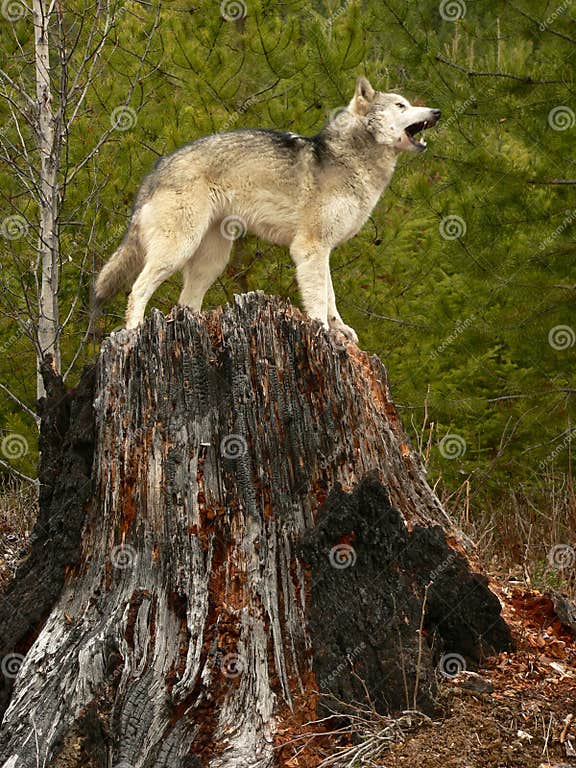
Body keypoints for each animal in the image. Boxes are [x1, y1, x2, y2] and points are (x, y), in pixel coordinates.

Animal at [94, 77, 440, 342]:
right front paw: (323, 331)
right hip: (177, 249)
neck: (350, 158)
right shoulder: (309, 247)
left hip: (211, 262)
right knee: (137, 289)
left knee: (185, 302)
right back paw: (134, 331)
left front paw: (339, 329)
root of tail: (155, 170)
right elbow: (318, 299)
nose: (437, 111)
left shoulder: (324, 249)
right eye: (401, 106)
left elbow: (330, 297)